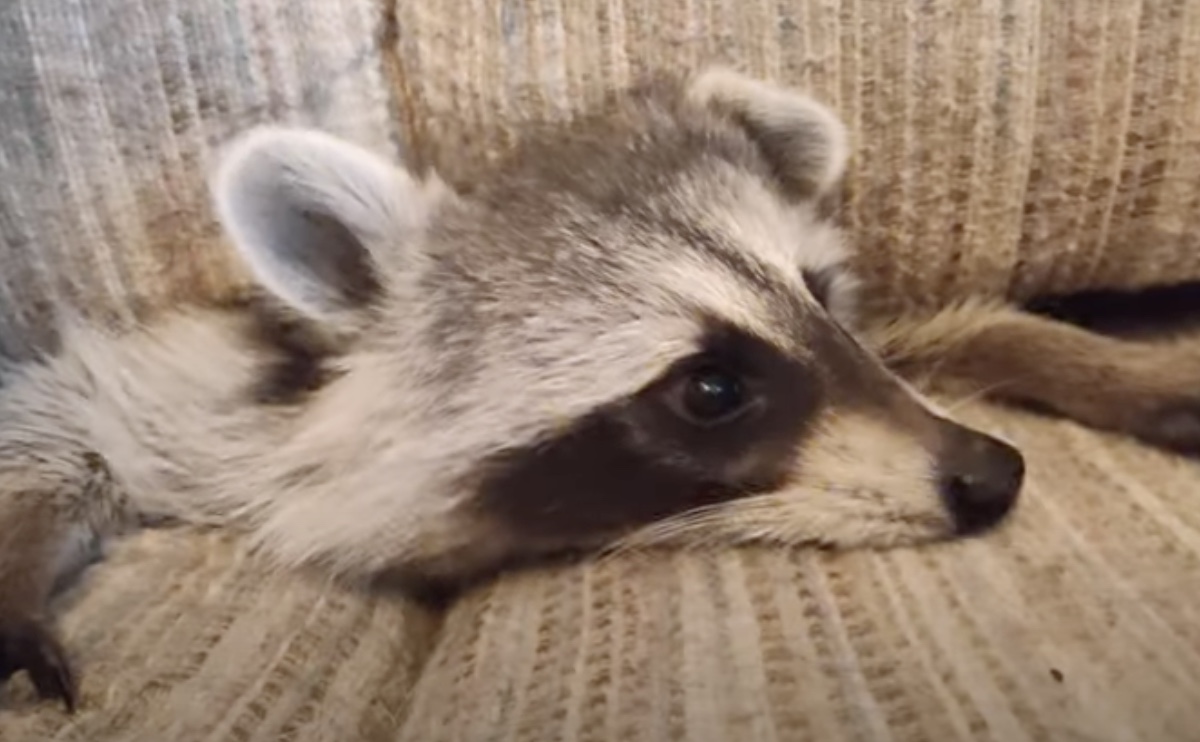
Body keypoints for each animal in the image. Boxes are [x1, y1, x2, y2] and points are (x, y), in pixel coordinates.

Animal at [1, 67, 1195, 712]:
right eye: (709, 390)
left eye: (820, 296)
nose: (992, 472)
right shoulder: (206, 402)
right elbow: (63, 416)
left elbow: (928, 329)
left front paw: (1080, 357)